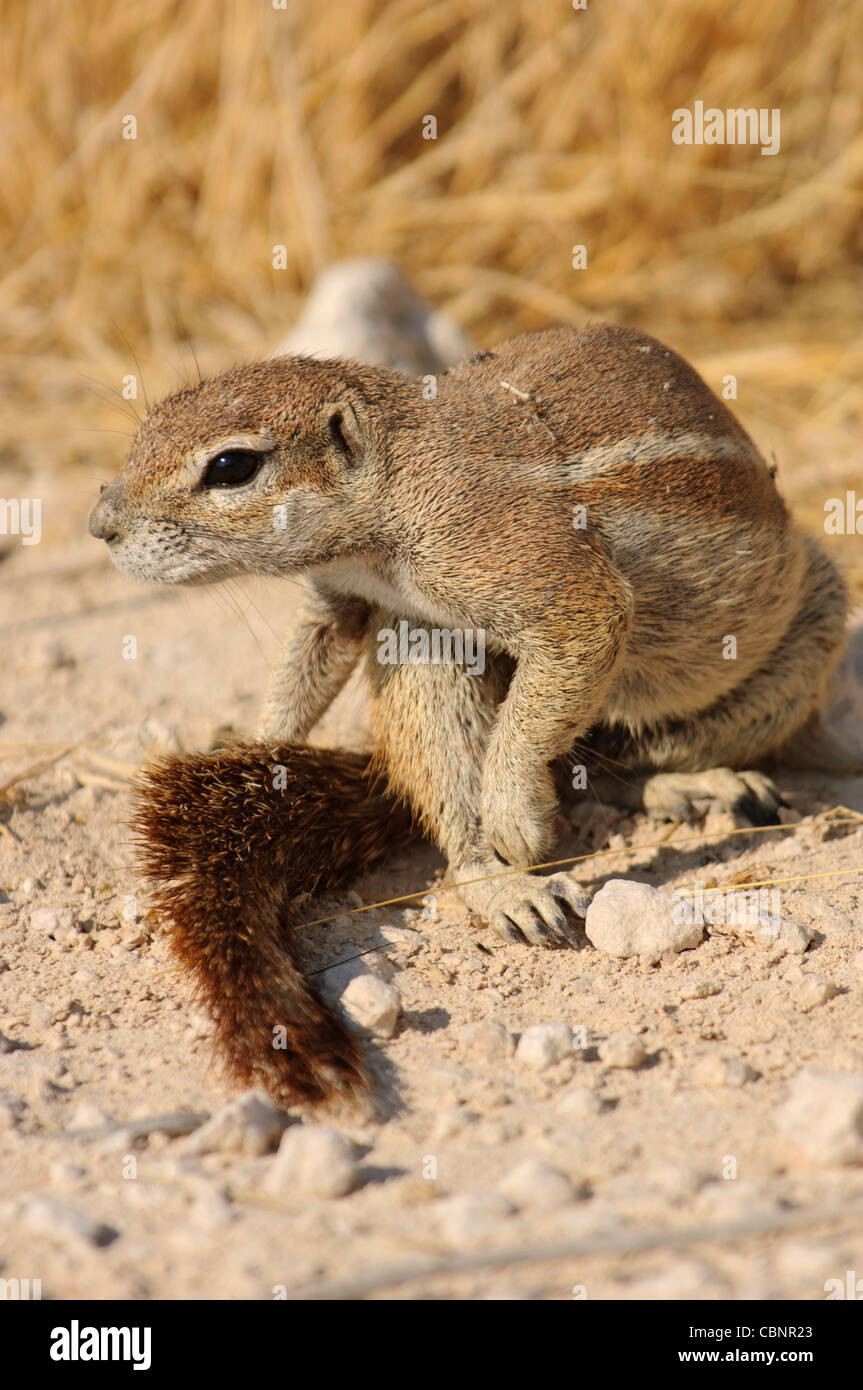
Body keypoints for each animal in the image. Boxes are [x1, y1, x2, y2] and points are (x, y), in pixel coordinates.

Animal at [88, 321, 856, 1108]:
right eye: (146, 427)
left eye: (231, 467)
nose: (99, 525)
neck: (396, 487)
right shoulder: (344, 596)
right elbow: (310, 659)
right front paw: (259, 748)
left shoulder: (540, 578)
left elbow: (556, 676)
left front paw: (515, 816)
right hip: (424, 639)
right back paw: (496, 882)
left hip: (810, 626)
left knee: (624, 755)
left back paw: (689, 785)